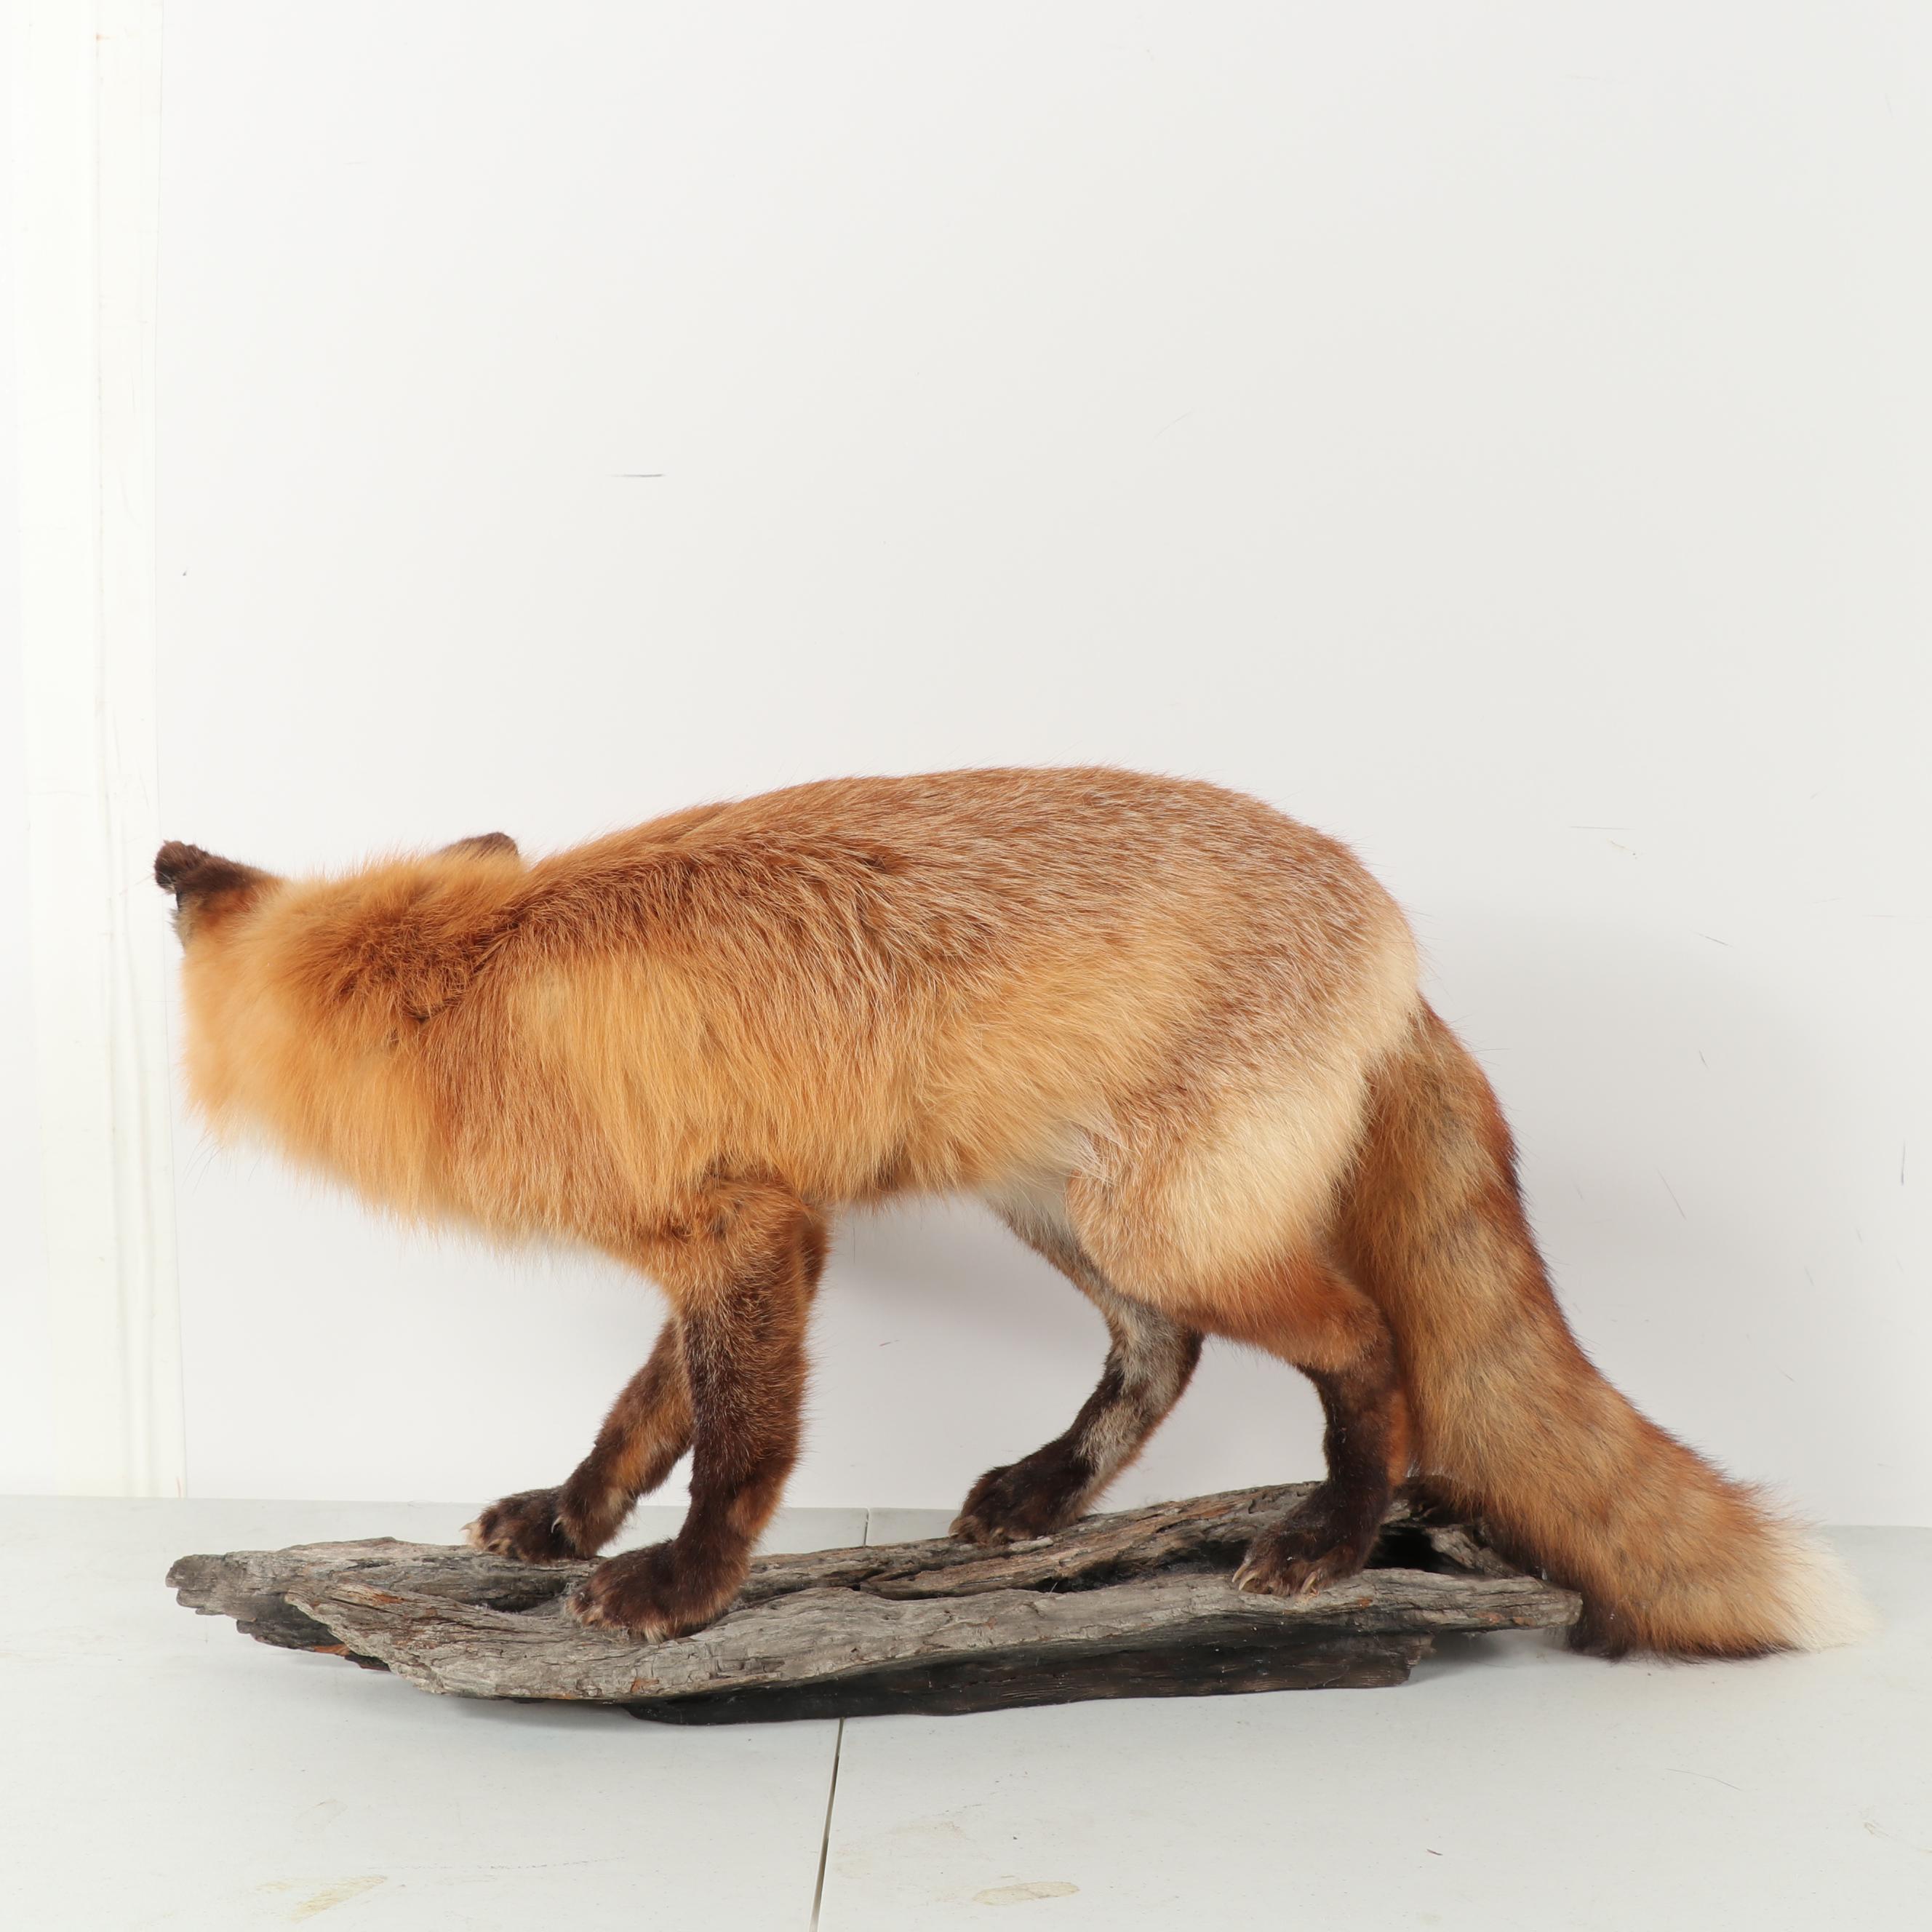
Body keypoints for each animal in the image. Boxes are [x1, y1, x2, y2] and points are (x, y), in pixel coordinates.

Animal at [155, 766, 1867, 1657]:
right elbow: (642, 1415)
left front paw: (684, 1588)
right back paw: (1049, 1495)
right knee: (1160, 1355)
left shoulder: (752, 1233)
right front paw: (568, 1518)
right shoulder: (727, 1232)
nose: (172, 850)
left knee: (1372, 1348)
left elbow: (736, 1444)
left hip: (1165, 1220)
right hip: (1066, 1211)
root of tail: (1393, 943)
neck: (481, 998)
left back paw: (1328, 1534)